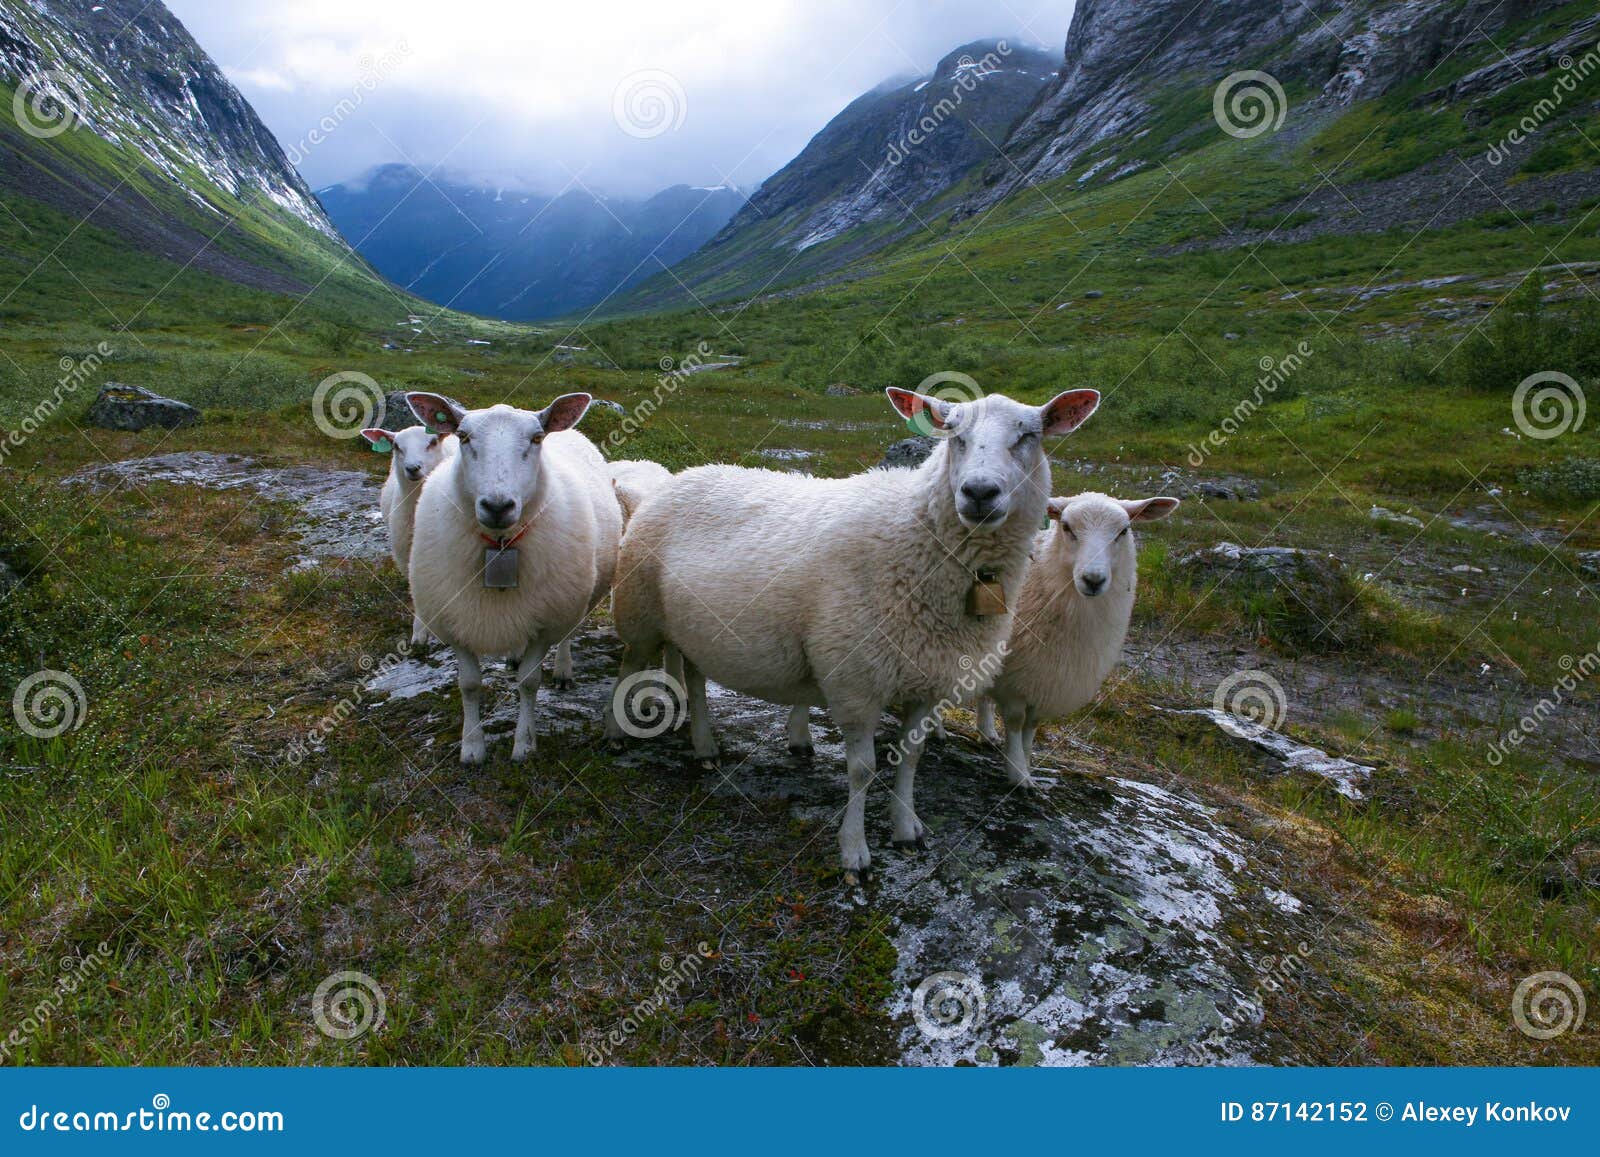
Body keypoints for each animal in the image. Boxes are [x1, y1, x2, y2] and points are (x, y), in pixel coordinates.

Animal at [405, 391, 622, 764]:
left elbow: (529, 683)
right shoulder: (454, 622)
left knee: (568, 634)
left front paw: (524, 745)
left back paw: (563, 670)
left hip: (573, 597)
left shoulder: (545, 623)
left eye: (536, 439)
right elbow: (469, 685)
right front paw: (472, 747)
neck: (501, 545)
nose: (497, 506)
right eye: (462, 436)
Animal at [605, 386, 1101, 872]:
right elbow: (862, 770)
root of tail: (679, 477)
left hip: (692, 627)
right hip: (640, 609)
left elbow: (911, 758)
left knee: (694, 676)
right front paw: (854, 851)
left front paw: (906, 829)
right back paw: (617, 734)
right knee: (631, 662)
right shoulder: (855, 680)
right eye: (953, 434)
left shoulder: (928, 680)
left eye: (1028, 436)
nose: (979, 492)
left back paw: (705, 746)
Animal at [976, 491, 1179, 788]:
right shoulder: (1016, 676)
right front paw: (1018, 774)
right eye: (1067, 527)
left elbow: (1031, 725)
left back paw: (987, 731)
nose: (1093, 579)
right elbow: (1015, 720)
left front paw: (1027, 763)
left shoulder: (1047, 678)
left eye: (1123, 531)